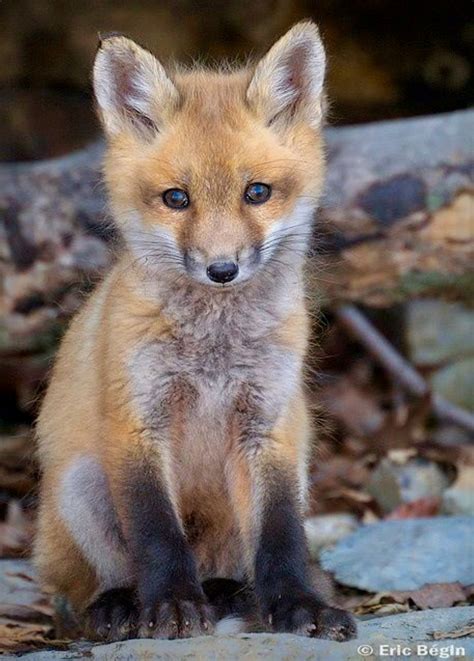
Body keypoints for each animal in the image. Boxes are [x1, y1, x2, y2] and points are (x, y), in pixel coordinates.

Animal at [34, 21, 357, 643]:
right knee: (95, 582)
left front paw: (298, 604)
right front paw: (171, 606)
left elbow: (282, 536)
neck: (214, 348)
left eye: (257, 192)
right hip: (79, 483)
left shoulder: (270, 426)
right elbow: (157, 533)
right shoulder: (136, 422)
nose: (222, 269)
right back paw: (121, 605)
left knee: (236, 565)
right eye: (176, 199)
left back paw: (233, 593)